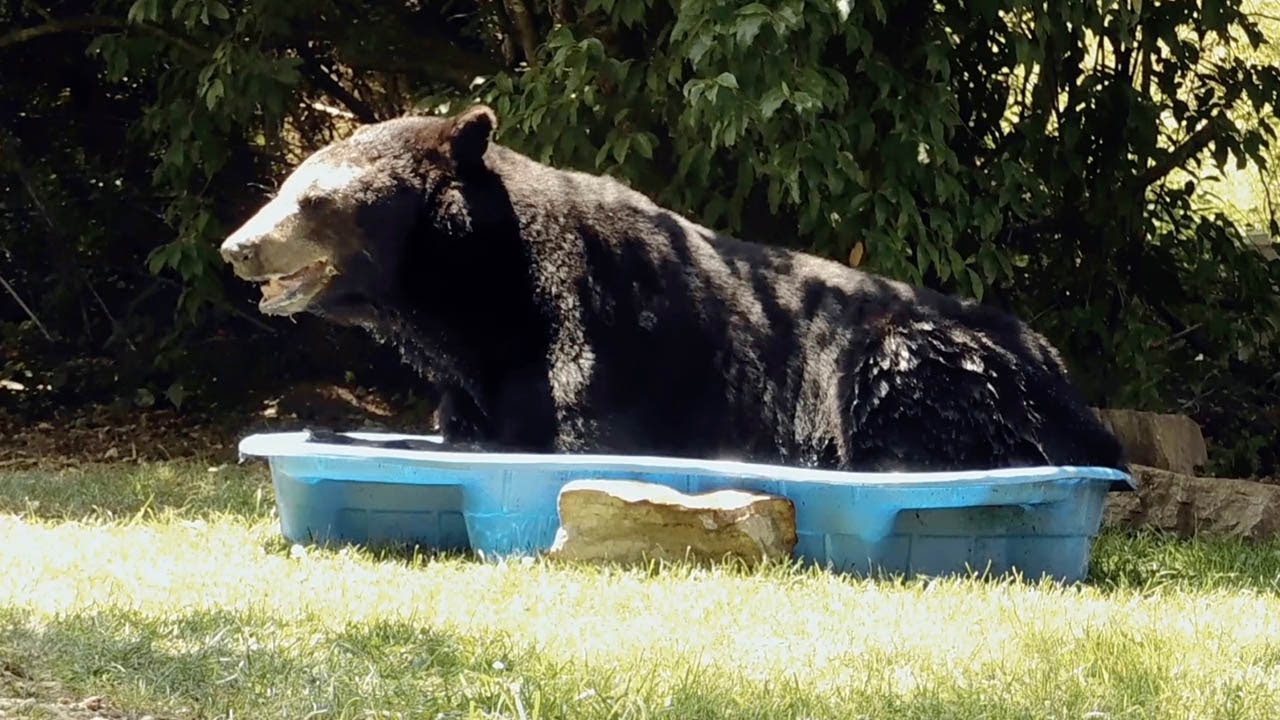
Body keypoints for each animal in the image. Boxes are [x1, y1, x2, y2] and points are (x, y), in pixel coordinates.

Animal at [219, 104, 1126, 473]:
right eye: (287, 185)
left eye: (311, 199)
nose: (239, 248)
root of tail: (1070, 382)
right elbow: (469, 421)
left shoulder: (605, 328)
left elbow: (577, 427)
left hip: (927, 354)